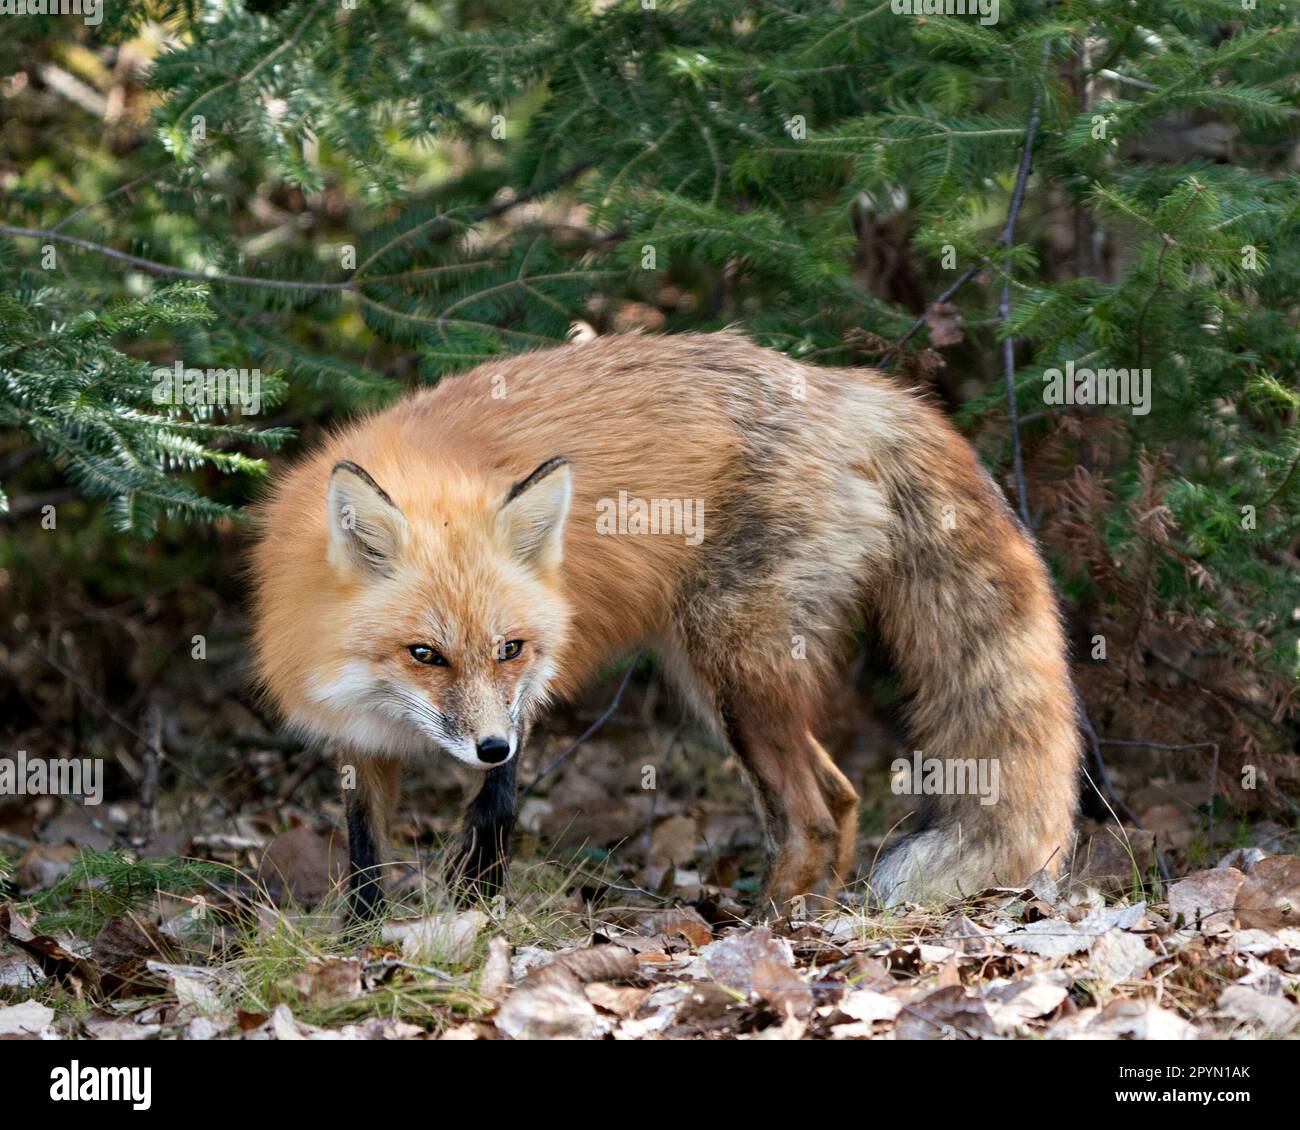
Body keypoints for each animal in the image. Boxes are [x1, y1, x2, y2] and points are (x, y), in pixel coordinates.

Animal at [249, 331, 1080, 918]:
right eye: (425, 654)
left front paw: (480, 895)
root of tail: (846, 387)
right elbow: (363, 853)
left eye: (509, 647)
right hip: (713, 680)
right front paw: (362, 943)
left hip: (735, 675)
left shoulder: (534, 676)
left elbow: (498, 803)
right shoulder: (356, 735)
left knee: (811, 815)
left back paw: (765, 927)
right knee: (843, 796)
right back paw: (814, 915)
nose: (489, 746)